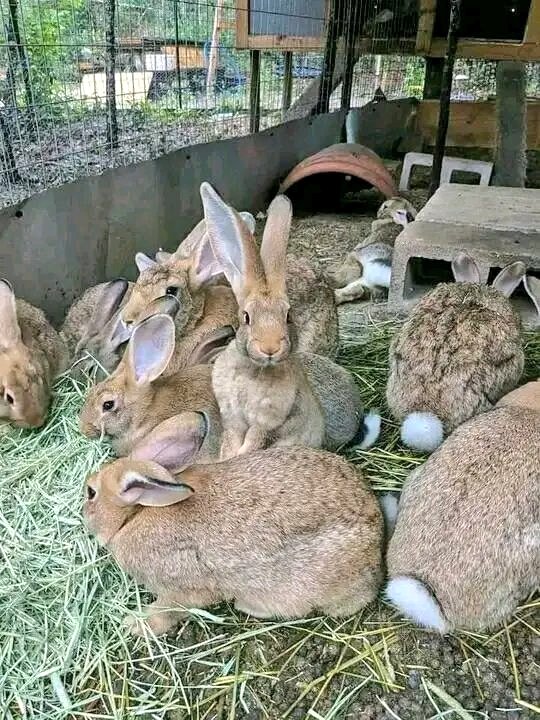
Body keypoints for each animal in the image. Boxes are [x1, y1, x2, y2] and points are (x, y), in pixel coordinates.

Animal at [84, 412, 384, 636]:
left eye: (90, 493)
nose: (83, 512)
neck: (135, 514)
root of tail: (377, 538)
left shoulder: (183, 591)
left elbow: (169, 611)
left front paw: (135, 625)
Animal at [200, 182, 326, 458]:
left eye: (288, 315)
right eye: (246, 317)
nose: (270, 348)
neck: (253, 370)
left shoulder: (267, 422)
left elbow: (254, 441)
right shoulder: (233, 418)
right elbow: (233, 438)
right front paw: (227, 457)